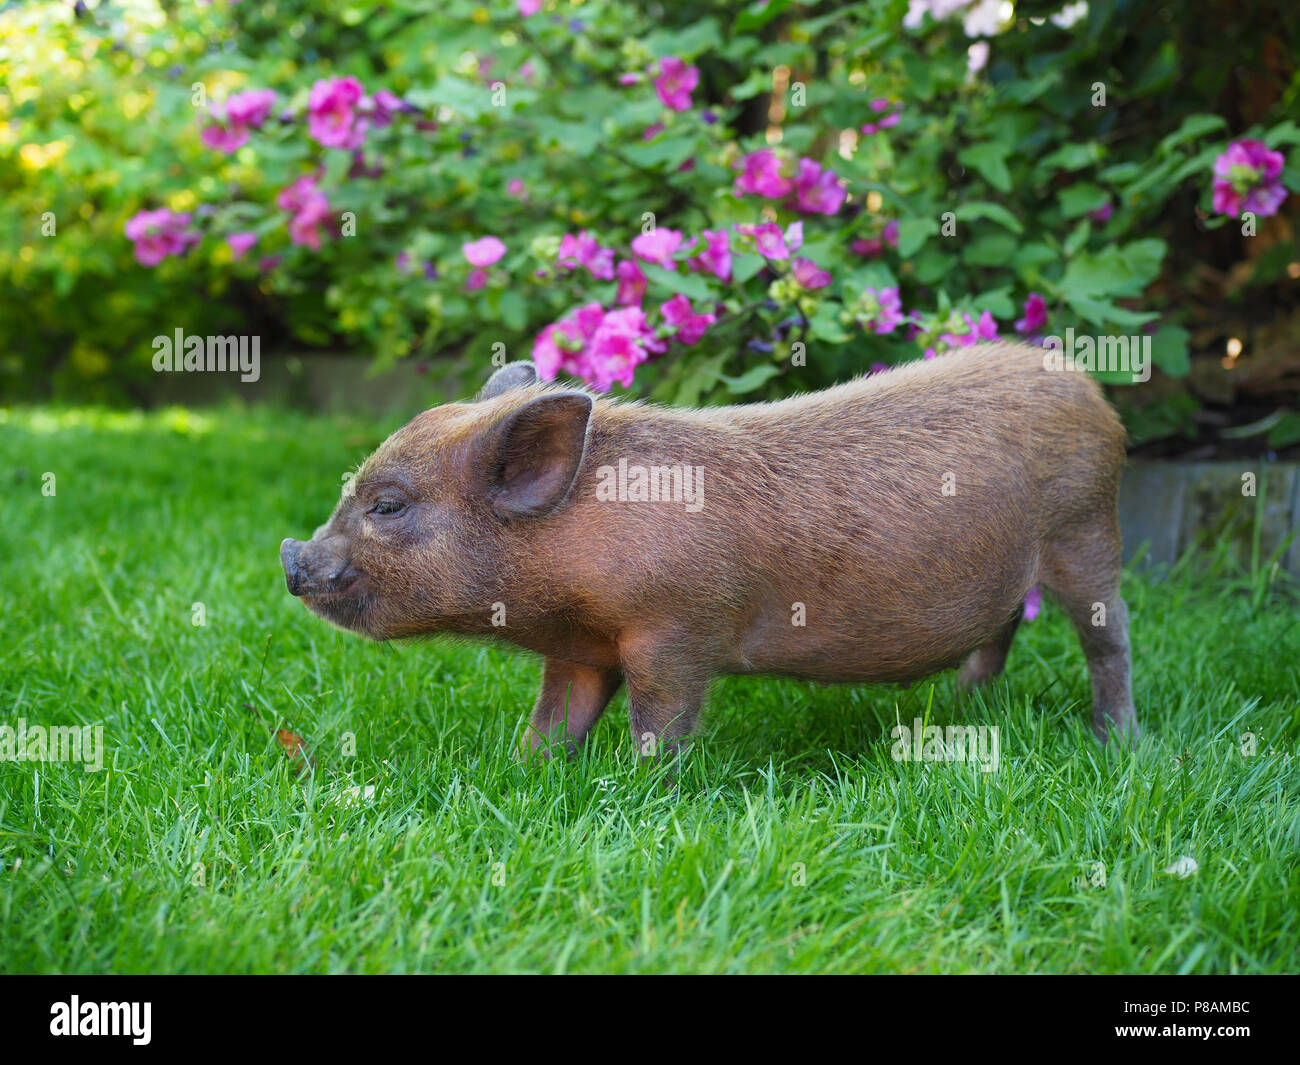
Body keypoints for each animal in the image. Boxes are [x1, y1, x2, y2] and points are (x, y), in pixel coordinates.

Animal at [280, 343, 1138, 763]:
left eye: (389, 505)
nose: (292, 558)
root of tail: (1082, 381)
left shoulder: (677, 627)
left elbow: (661, 717)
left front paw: (640, 786)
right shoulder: (581, 648)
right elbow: (555, 718)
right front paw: (525, 769)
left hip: (1087, 530)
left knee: (1110, 636)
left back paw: (1114, 739)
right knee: (1004, 625)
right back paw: (963, 706)